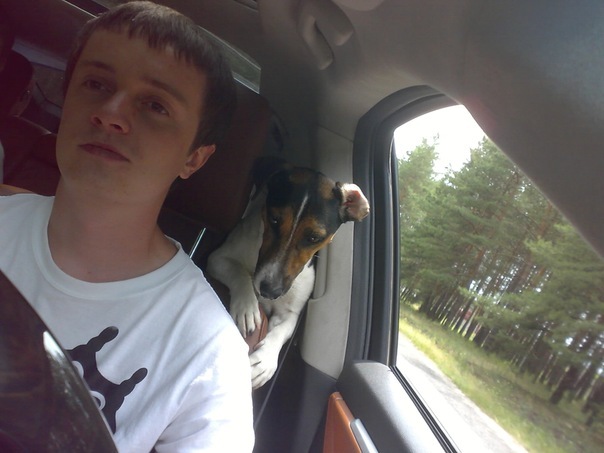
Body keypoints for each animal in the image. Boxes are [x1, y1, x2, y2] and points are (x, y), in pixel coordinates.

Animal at [207, 157, 370, 389]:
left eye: (314, 238)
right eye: (274, 219)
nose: (269, 291)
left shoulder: (290, 313)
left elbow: (283, 329)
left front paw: (265, 360)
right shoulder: (218, 259)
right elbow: (239, 273)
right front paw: (247, 307)